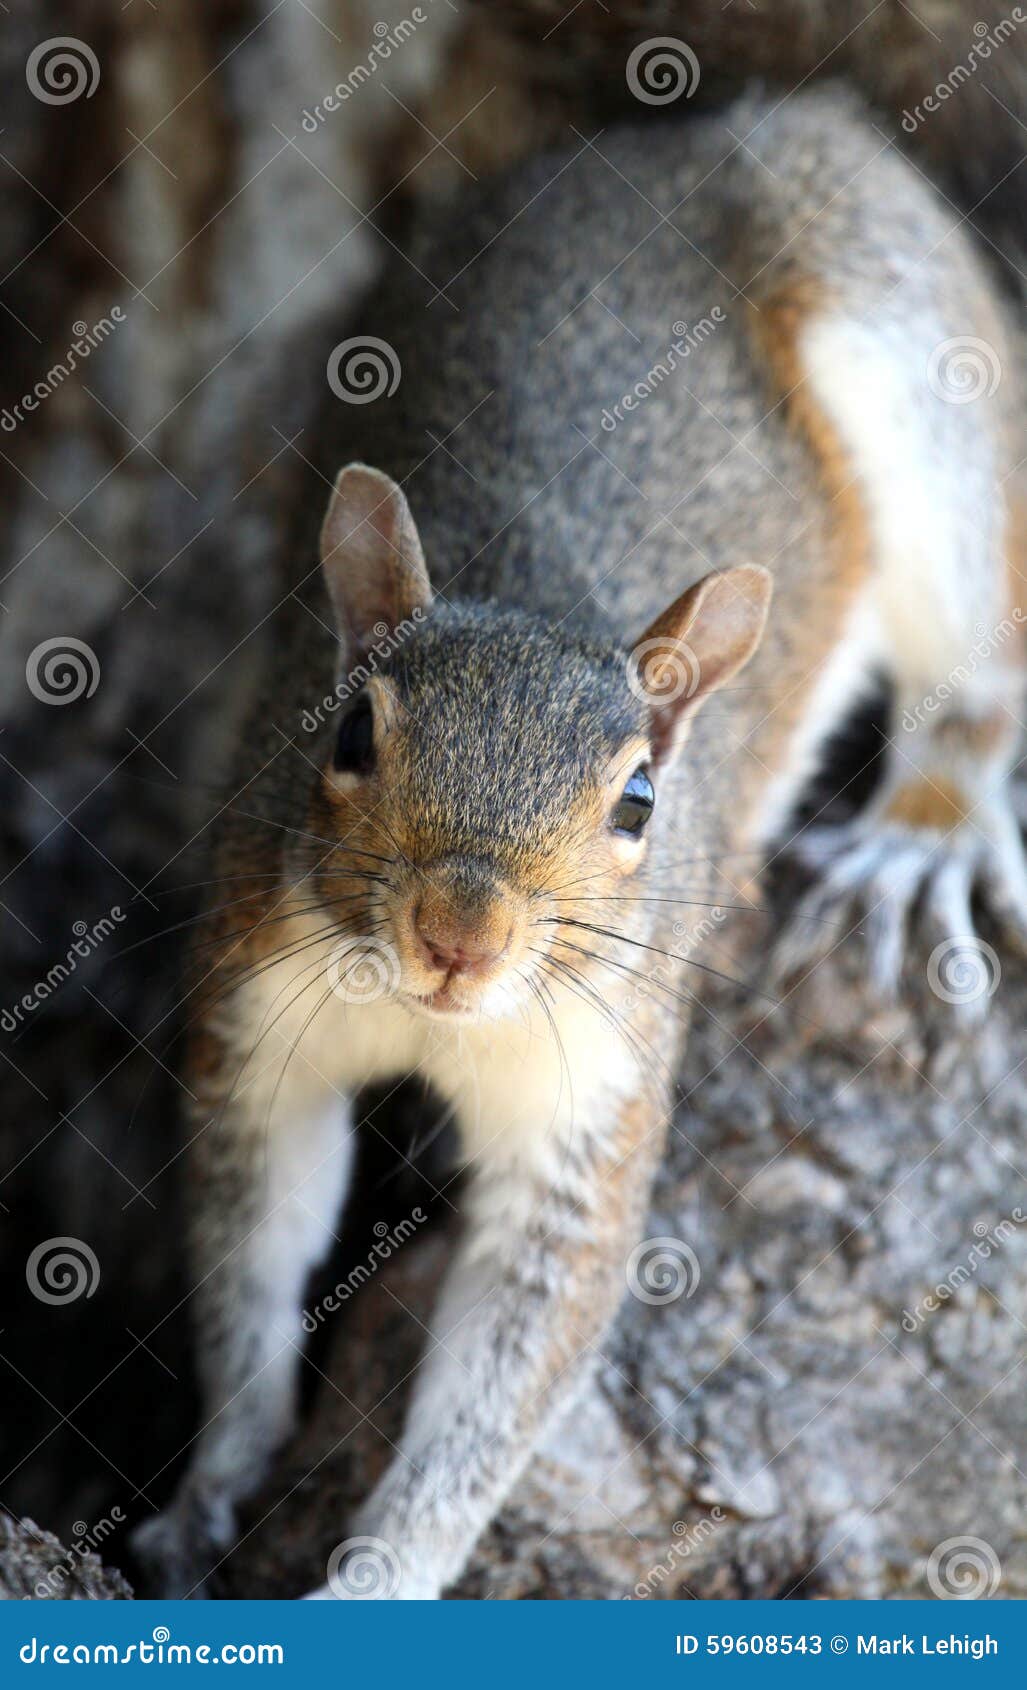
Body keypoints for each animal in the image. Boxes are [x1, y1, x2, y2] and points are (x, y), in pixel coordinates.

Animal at [131, 84, 1026, 1598]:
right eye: (346, 732)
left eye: (639, 804)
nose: (460, 935)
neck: (439, 1019)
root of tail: (693, 138)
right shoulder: (258, 1003)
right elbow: (254, 1235)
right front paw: (218, 1472)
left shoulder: (595, 1091)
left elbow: (517, 1344)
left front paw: (376, 1578)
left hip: (908, 347)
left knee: (976, 653)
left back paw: (924, 834)